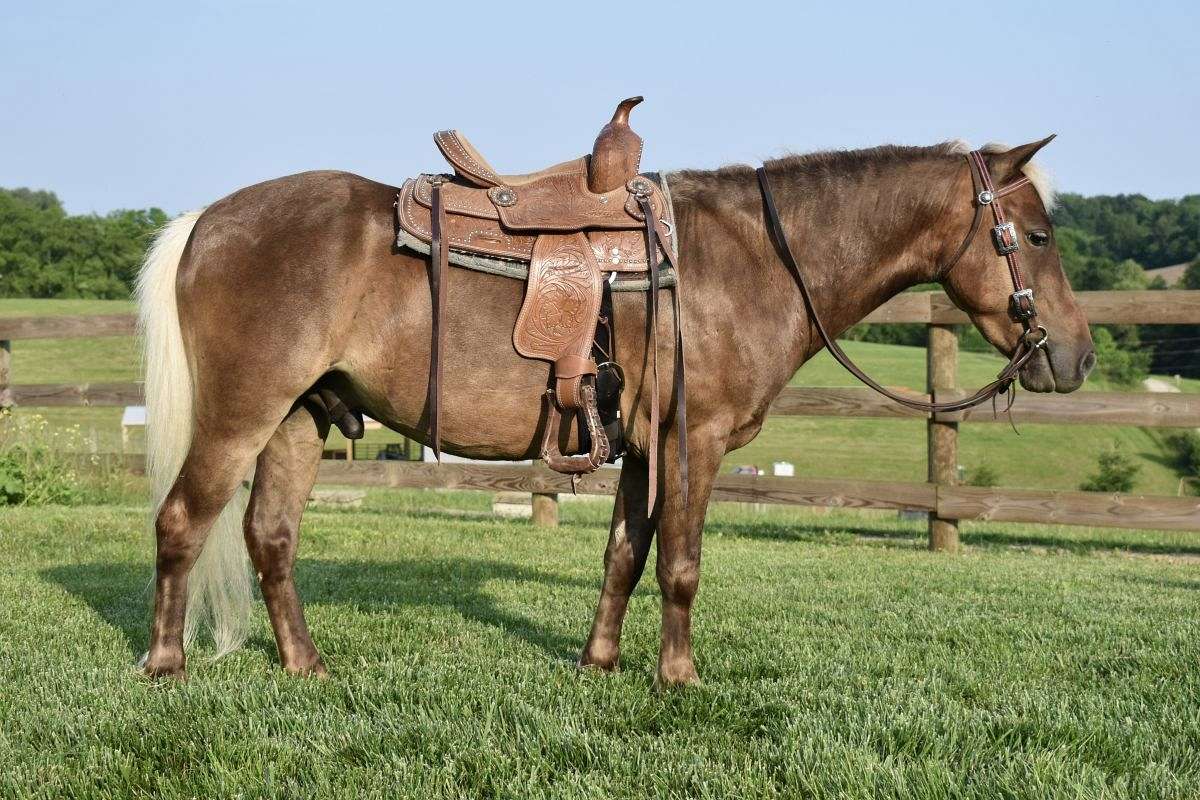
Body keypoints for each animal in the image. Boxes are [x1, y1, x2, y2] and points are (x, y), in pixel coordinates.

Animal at [135, 136, 1094, 685]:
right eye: (1038, 235)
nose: (1077, 355)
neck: (751, 260)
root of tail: (207, 218)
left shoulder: (641, 446)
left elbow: (623, 558)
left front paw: (599, 664)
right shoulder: (694, 439)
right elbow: (680, 565)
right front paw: (678, 678)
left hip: (296, 419)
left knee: (270, 538)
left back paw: (306, 667)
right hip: (241, 415)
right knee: (182, 521)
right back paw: (165, 662)